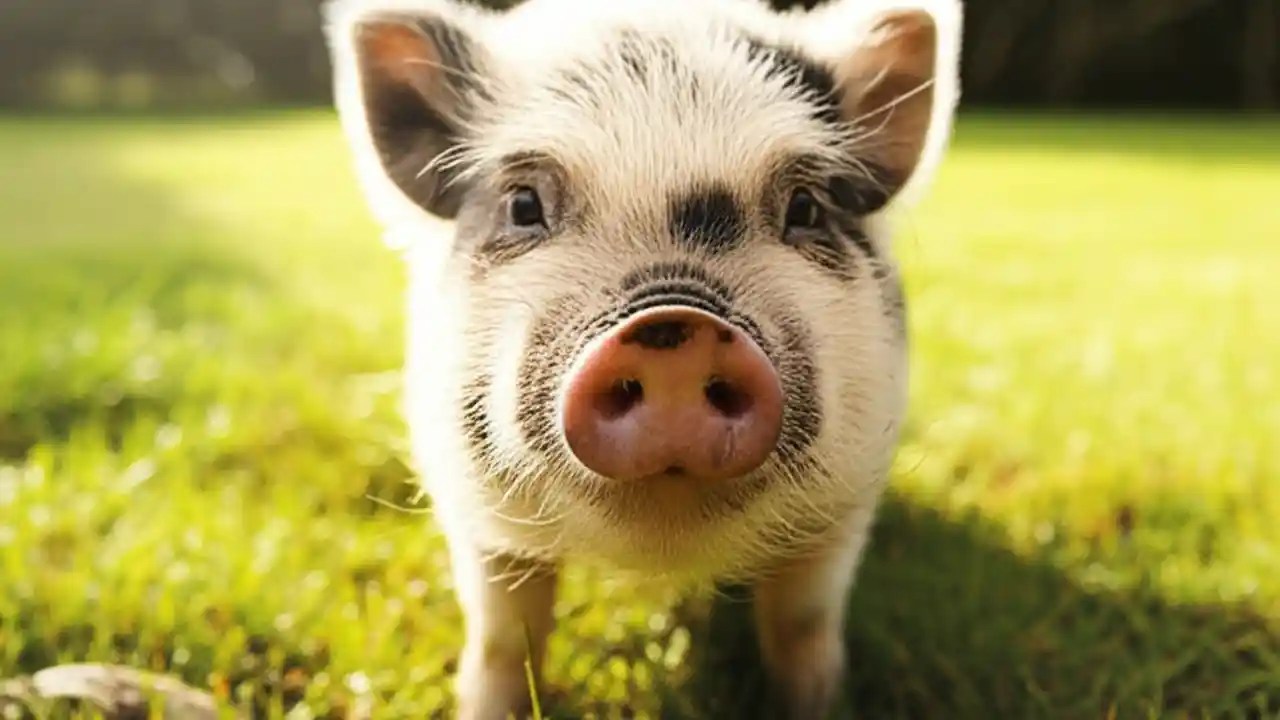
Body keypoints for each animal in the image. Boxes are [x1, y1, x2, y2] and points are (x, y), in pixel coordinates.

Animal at [324, 0, 962, 717]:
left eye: (805, 207)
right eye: (523, 205)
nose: (674, 322)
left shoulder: (840, 512)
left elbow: (803, 628)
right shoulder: (478, 514)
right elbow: (503, 637)